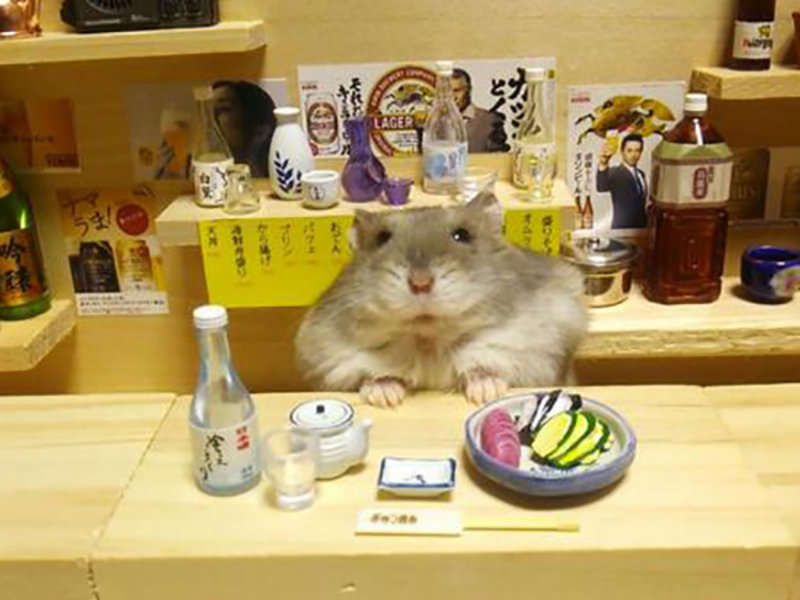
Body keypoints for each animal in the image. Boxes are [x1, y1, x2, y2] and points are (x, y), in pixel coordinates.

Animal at [295, 190, 588, 407]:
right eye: (382, 238)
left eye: (462, 235)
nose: (420, 283)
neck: (428, 340)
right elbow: (371, 374)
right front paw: (387, 398)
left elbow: (487, 366)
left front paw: (484, 394)